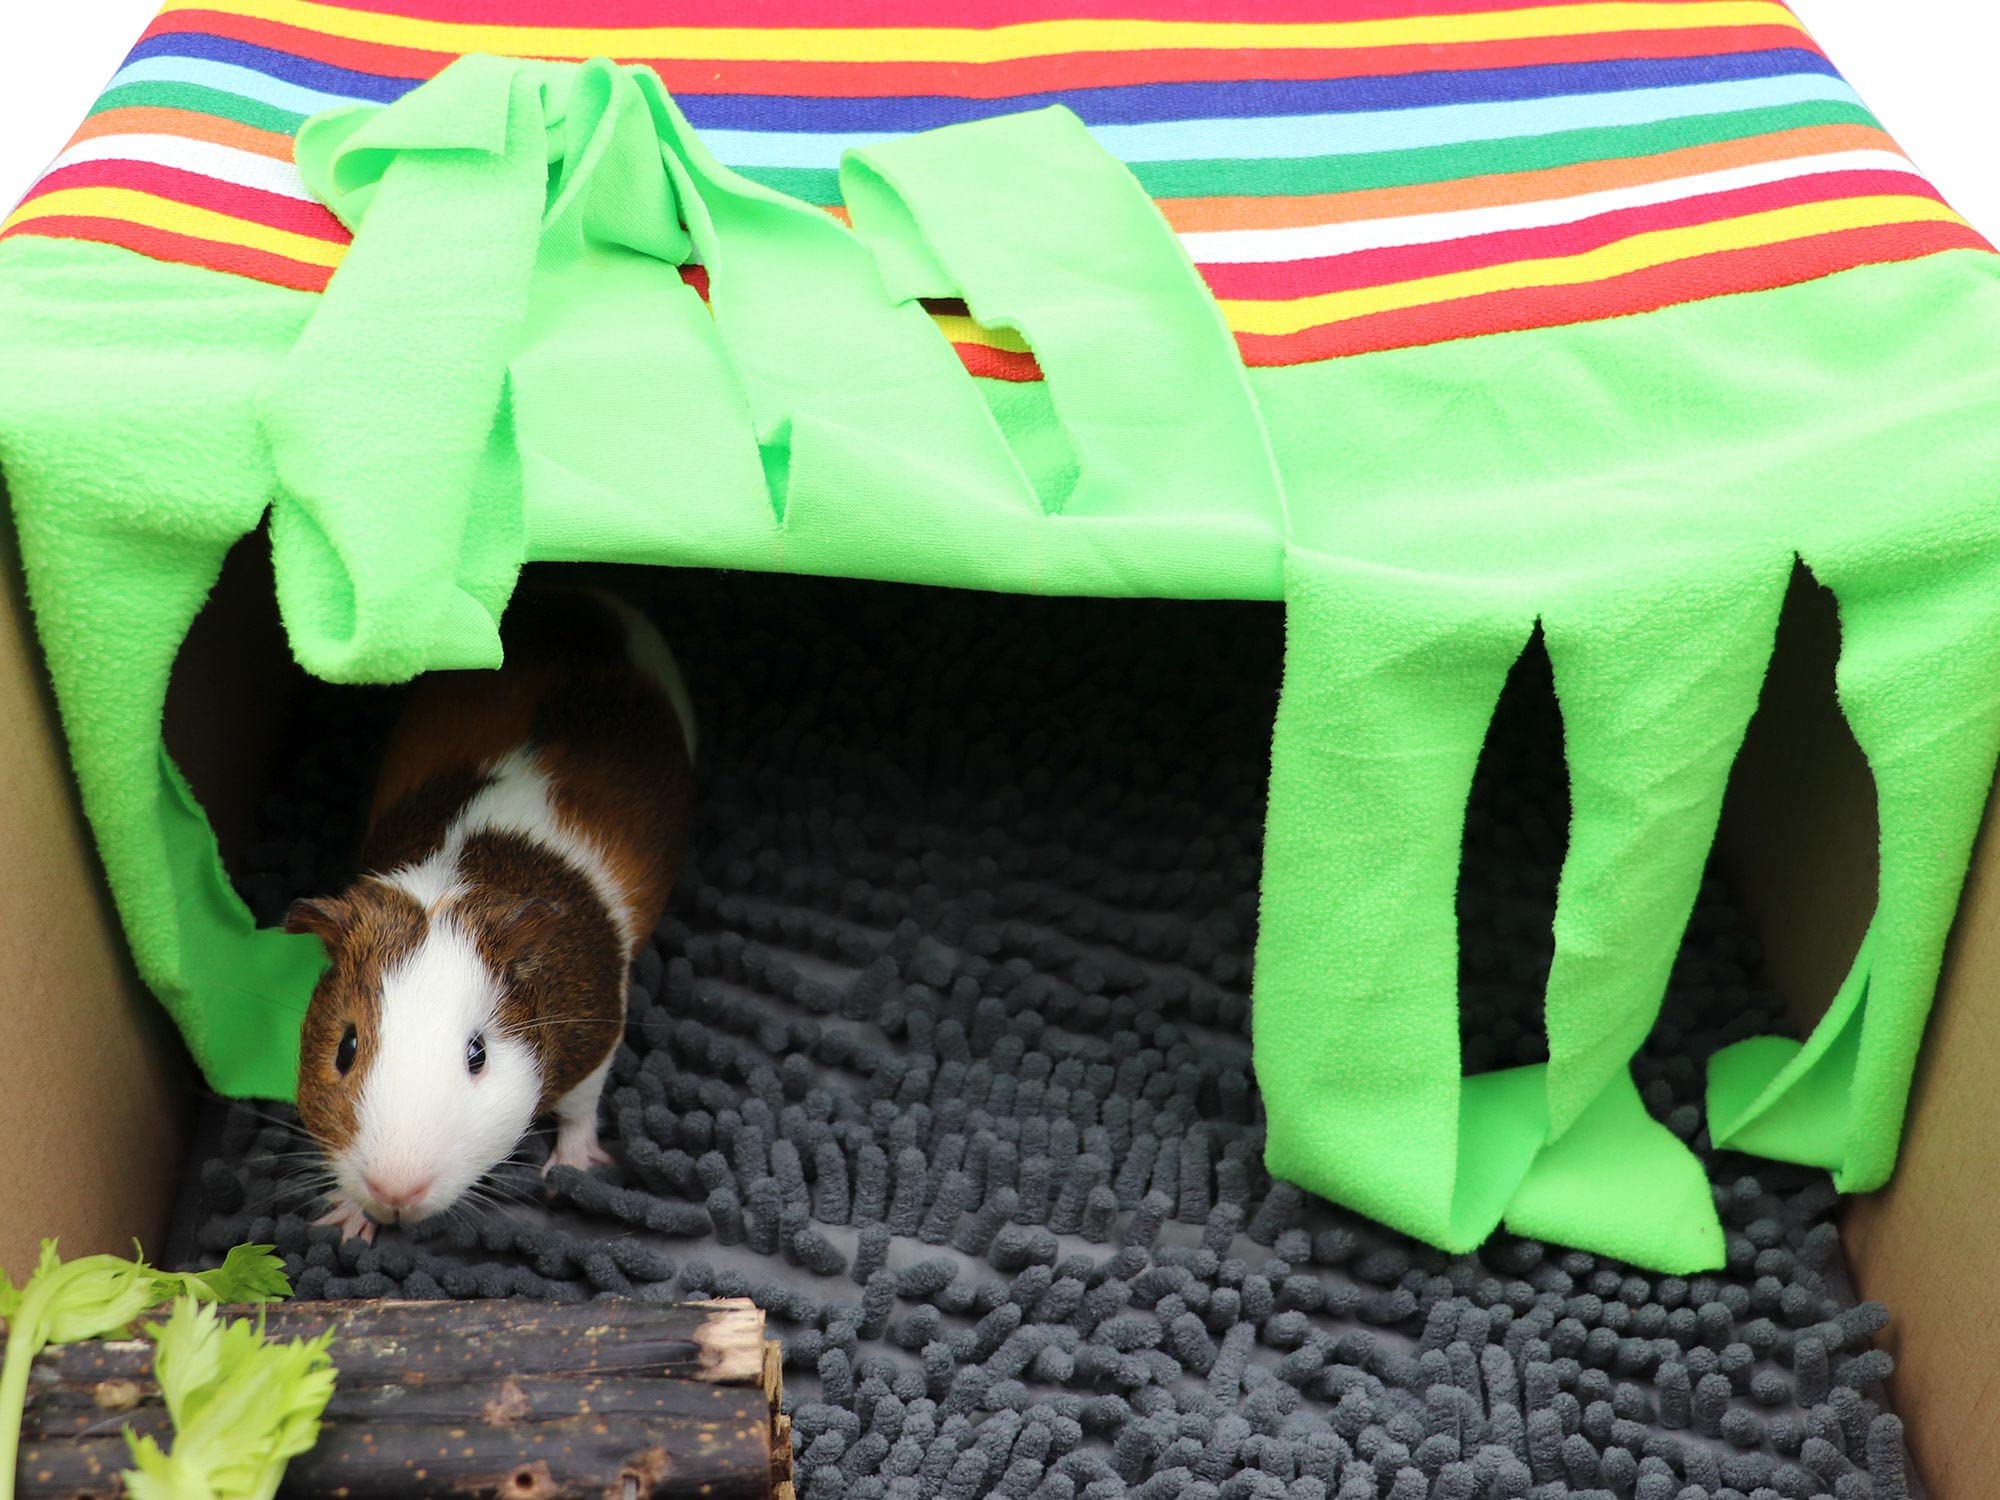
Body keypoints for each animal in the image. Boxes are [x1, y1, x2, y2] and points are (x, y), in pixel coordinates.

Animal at [286, 585, 695, 1242]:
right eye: (346, 1048)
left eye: (477, 1054)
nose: (395, 1191)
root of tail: (582, 596)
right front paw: (346, 1222)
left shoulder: (601, 1032)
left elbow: (581, 1105)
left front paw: (571, 1169)